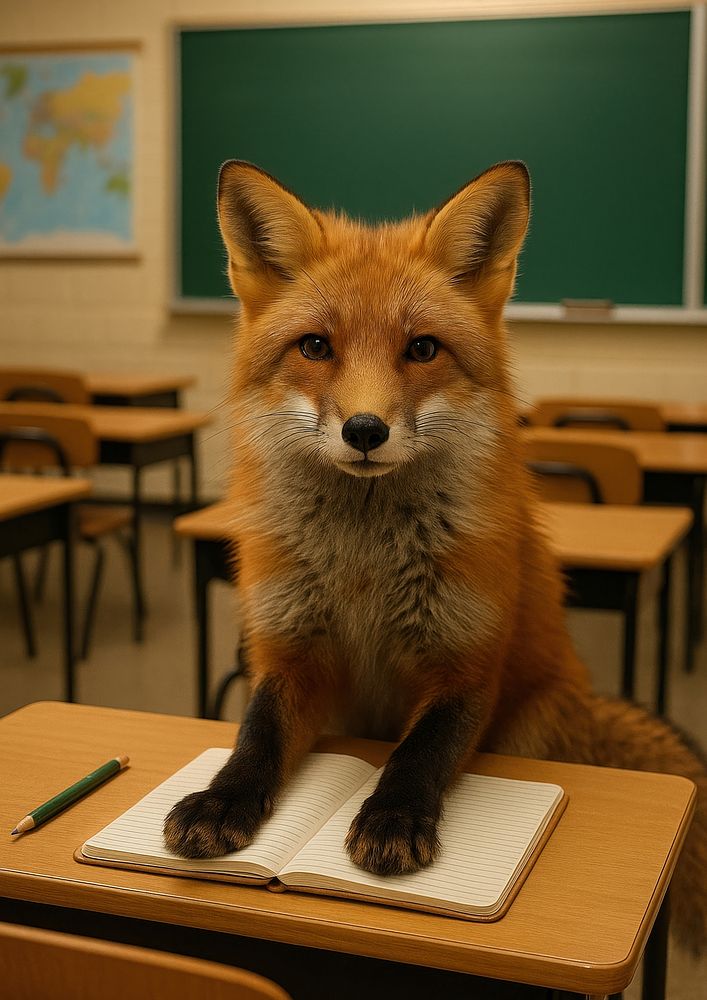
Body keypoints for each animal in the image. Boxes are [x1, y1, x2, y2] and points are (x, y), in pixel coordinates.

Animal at [164, 159, 707, 954]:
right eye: (315, 347)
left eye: (421, 349)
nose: (364, 430)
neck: (363, 566)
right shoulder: (289, 652)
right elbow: (254, 735)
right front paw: (221, 800)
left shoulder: (467, 662)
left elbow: (418, 751)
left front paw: (392, 817)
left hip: (531, 715)